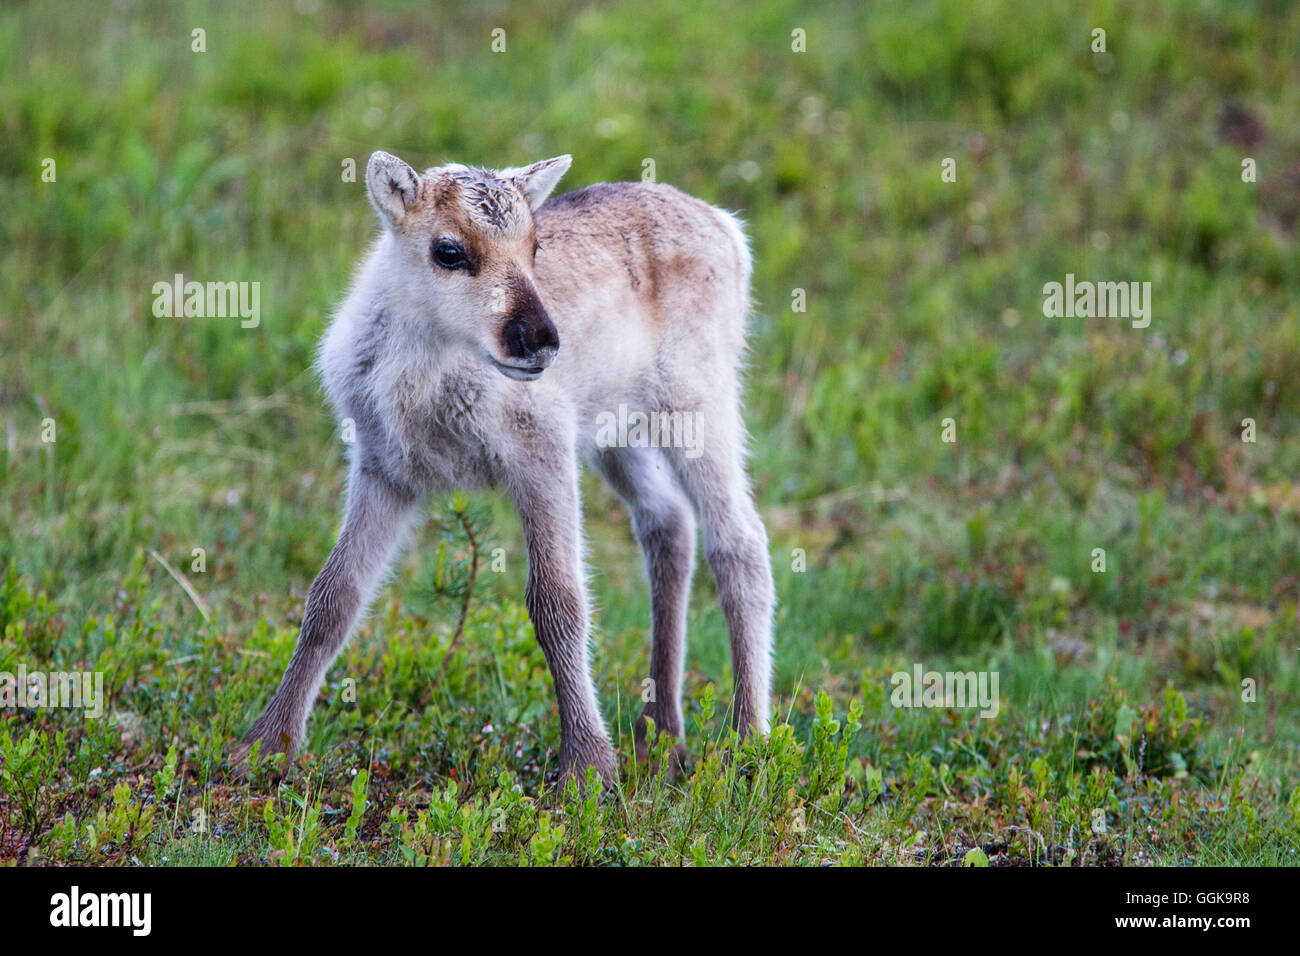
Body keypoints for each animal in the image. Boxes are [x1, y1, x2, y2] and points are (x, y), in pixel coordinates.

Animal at [231, 150, 775, 790]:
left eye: (535, 246)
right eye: (448, 251)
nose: (540, 340)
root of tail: (728, 228)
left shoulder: (542, 450)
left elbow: (558, 603)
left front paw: (587, 768)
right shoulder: (383, 467)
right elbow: (332, 596)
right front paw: (264, 746)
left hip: (697, 400)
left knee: (739, 540)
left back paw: (746, 743)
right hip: (617, 428)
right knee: (669, 523)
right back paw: (659, 738)